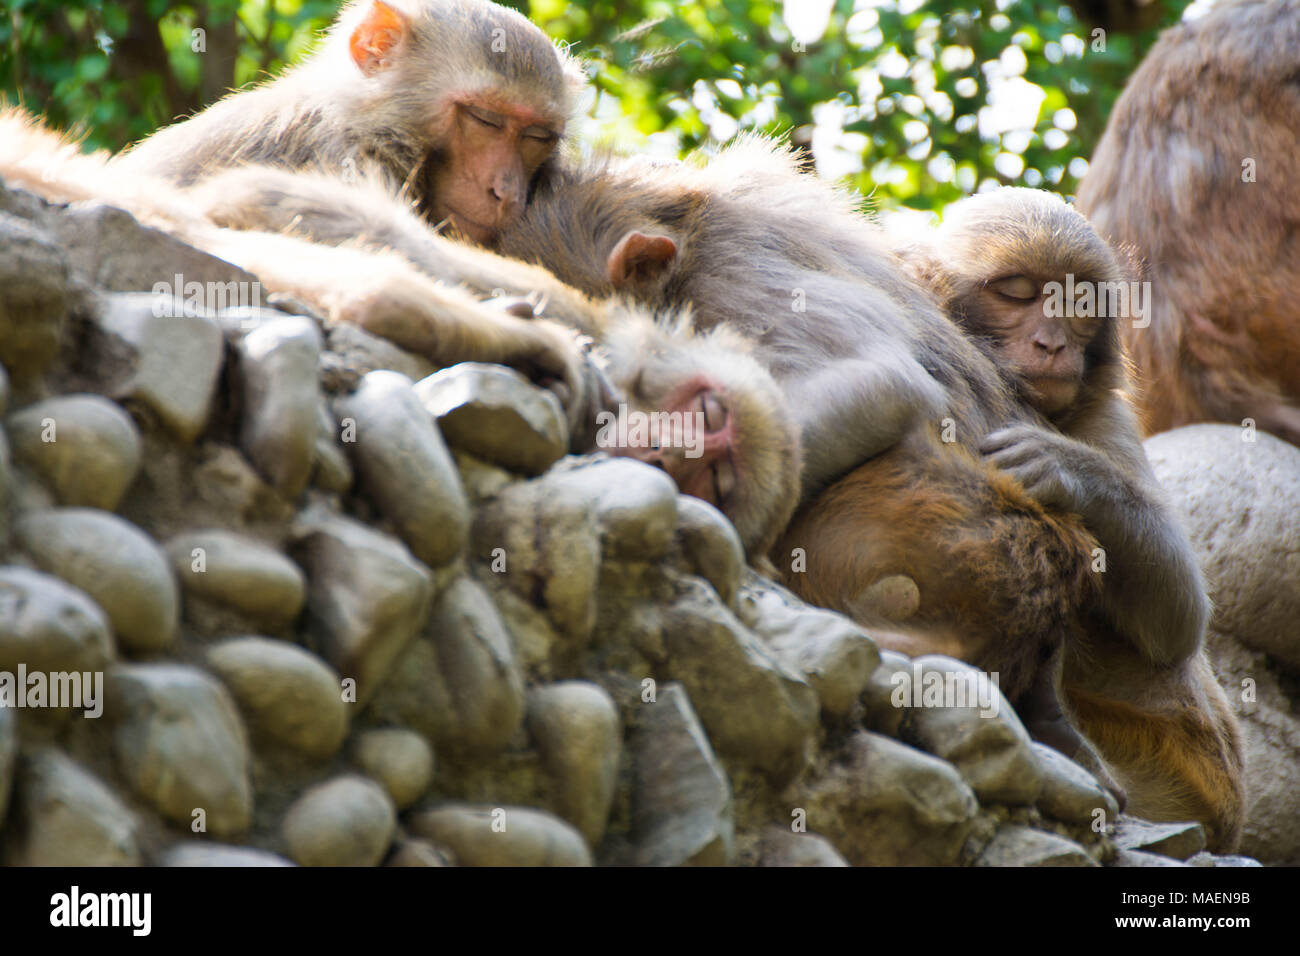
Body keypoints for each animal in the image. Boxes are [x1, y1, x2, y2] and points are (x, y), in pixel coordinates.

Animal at [891, 187, 1244, 848]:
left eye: (1075, 302)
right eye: (1016, 293)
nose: (1053, 344)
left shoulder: (1105, 414)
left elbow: (1179, 621)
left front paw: (1068, 470)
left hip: (1182, 770)